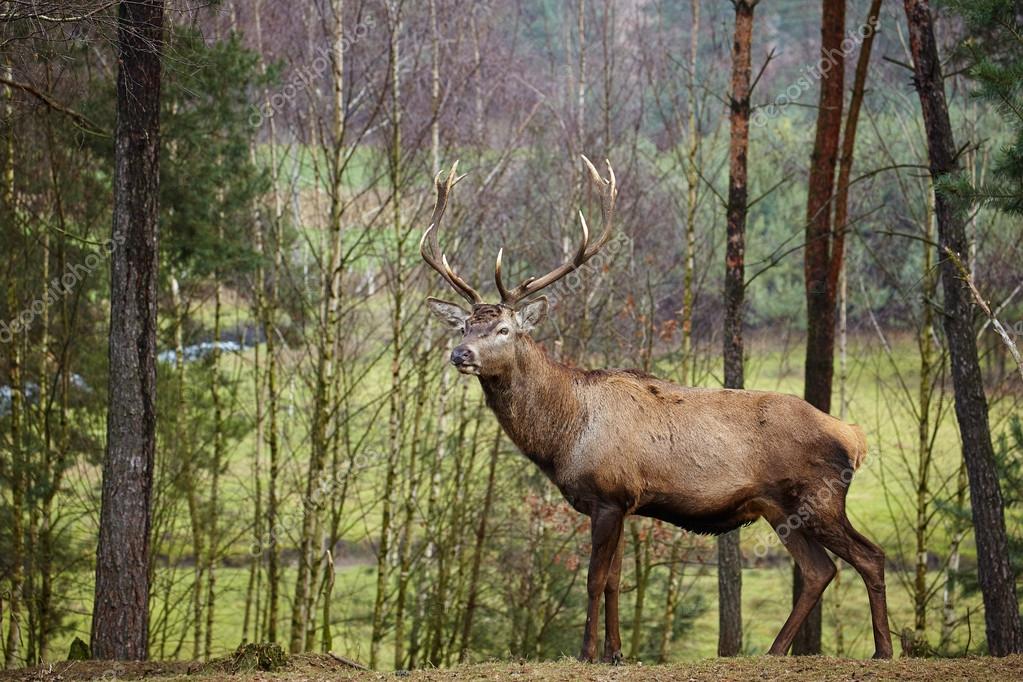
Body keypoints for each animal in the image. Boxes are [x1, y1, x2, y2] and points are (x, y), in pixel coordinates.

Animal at [420, 156, 893, 663]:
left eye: (504, 329)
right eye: (465, 325)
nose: (460, 353)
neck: (564, 437)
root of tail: (853, 436)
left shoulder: (608, 495)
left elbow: (593, 579)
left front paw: (587, 652)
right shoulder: (623, 503)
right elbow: (615, 580)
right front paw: (615, 653)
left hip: (820, 496)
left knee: (869, 556)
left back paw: (882, 651)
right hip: (780, 508)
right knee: (819, 570)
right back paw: (774, 651)